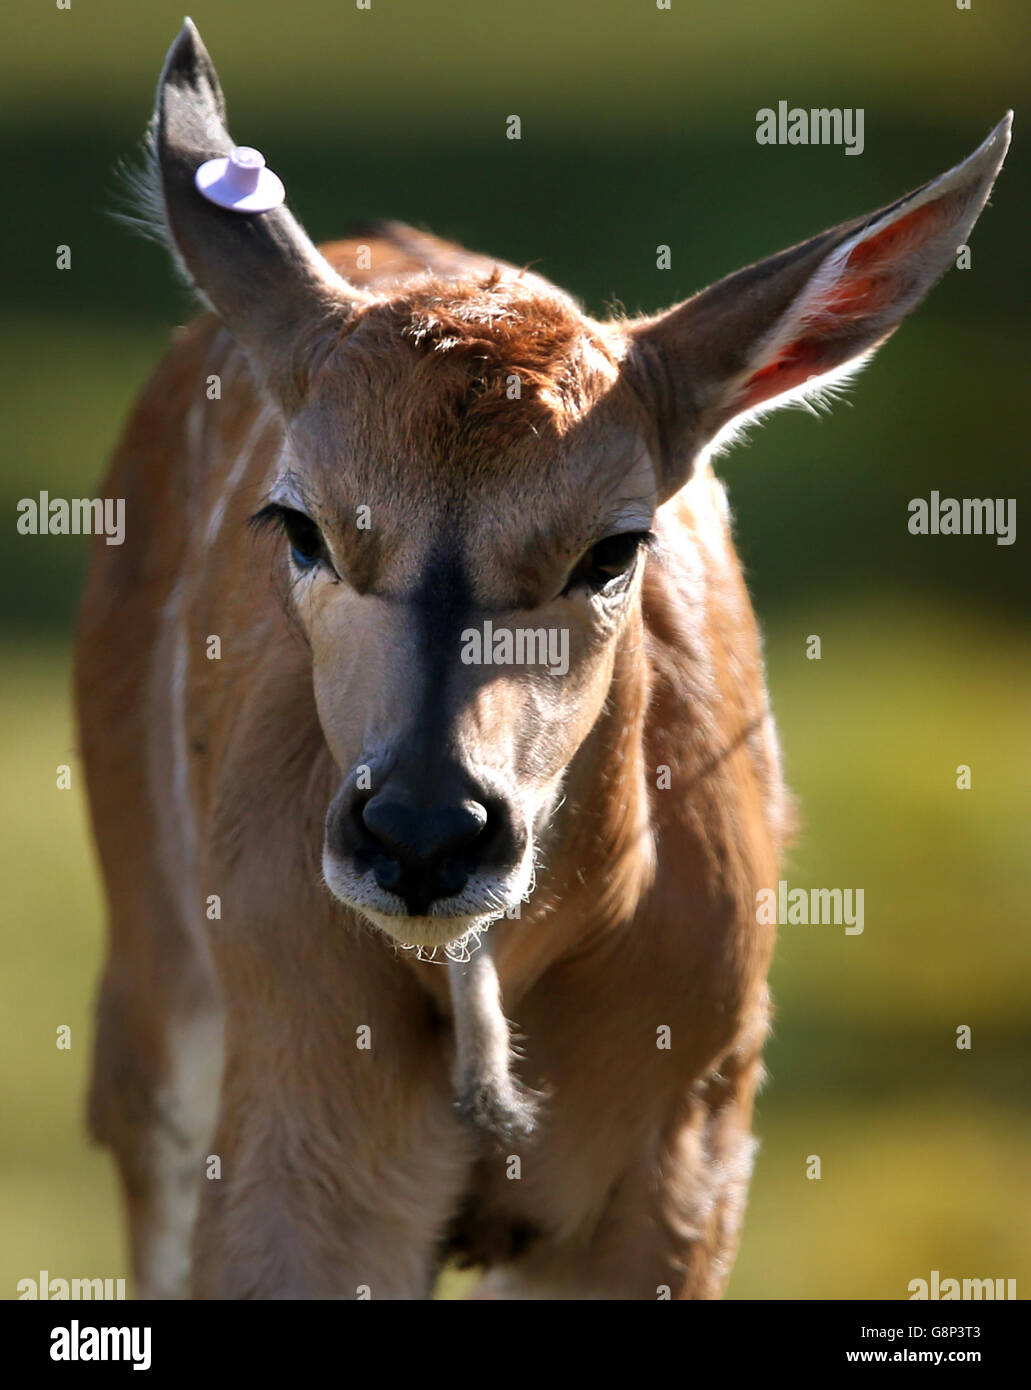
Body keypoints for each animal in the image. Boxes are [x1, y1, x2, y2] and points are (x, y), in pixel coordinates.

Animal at [75, 19, 1010, 1299]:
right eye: (299, 524)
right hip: (153, 1037)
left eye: (612, 547)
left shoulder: (673, 1174)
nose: (422, 835)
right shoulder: (292, 1145)